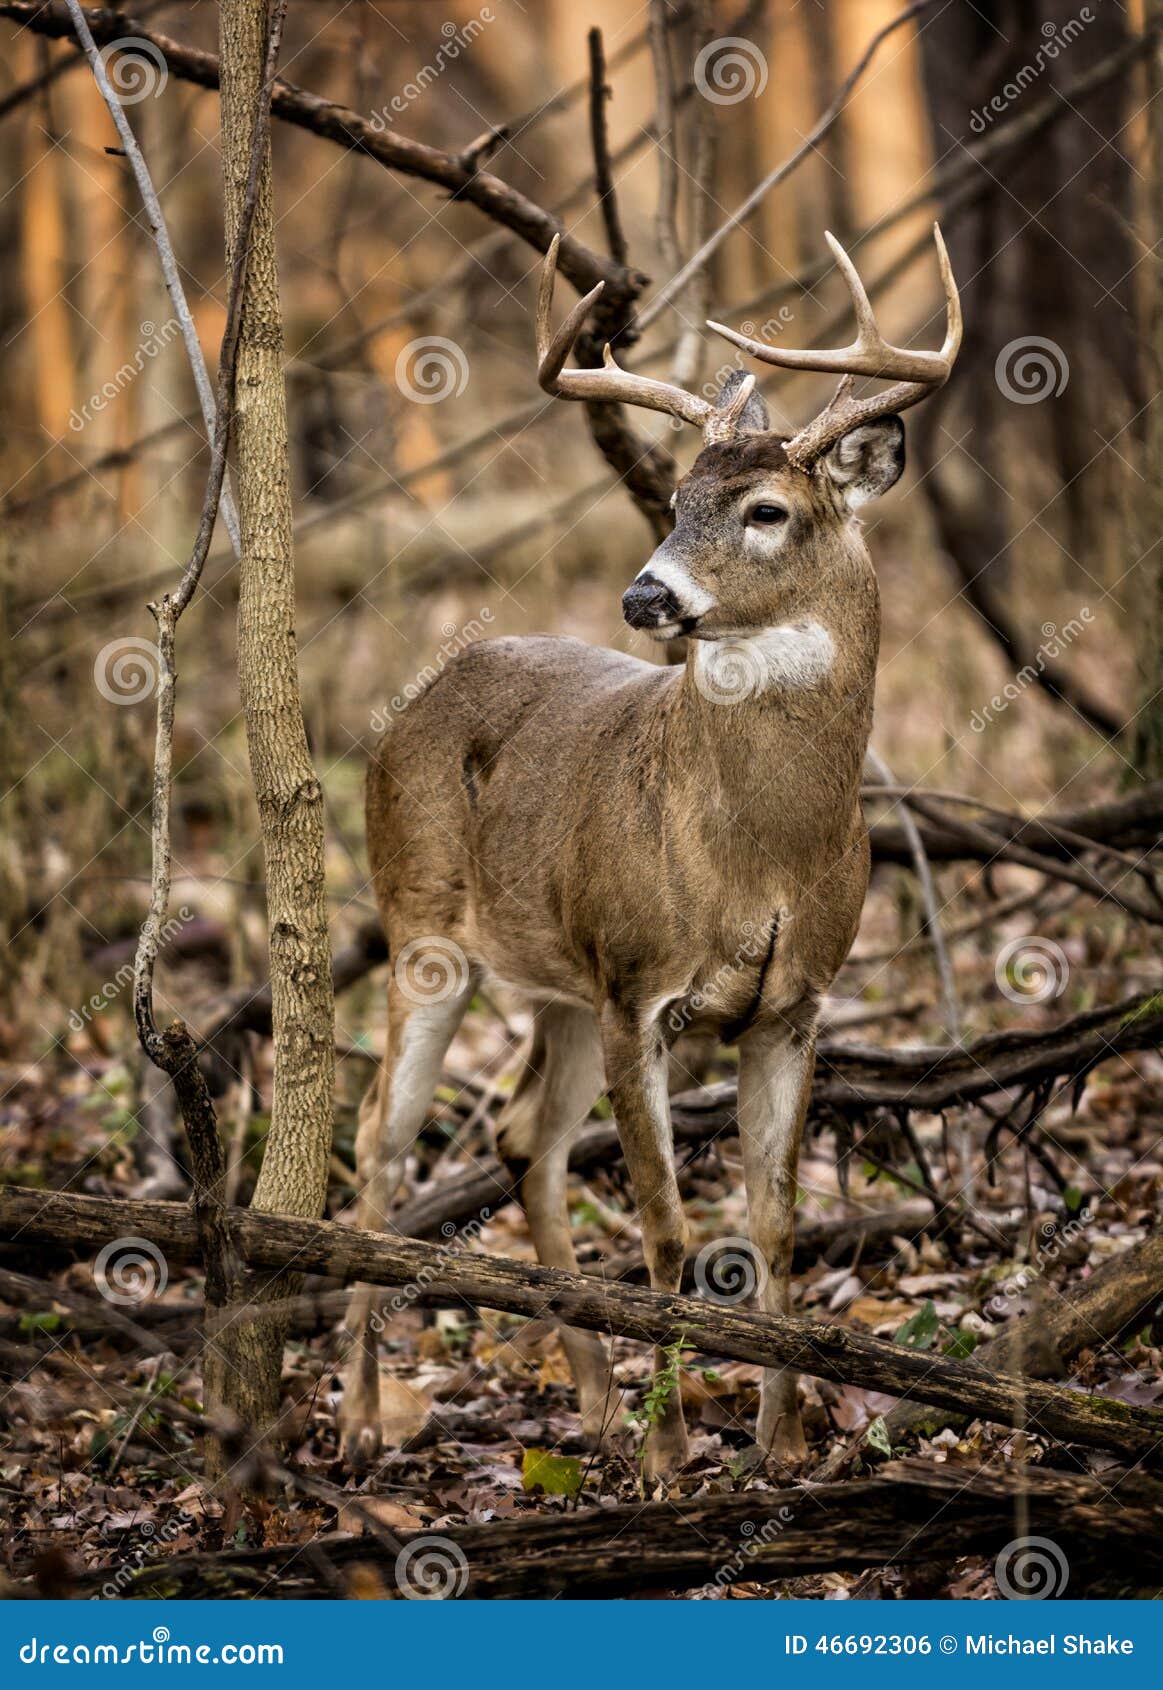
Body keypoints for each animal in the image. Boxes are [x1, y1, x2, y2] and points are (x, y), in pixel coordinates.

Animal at [341, 227, 961, 1478]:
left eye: (765, 509)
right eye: (672, 497)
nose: (643, 592)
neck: (758, 853)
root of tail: (413, 702)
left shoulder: (791, 1005)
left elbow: (774, 1221)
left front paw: (780, 1442)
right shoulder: (640, 987)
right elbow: (668, 1228)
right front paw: (673, 1453)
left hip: (560, 983)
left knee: (522, 1137)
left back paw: (586, 1406)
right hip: (424, 928)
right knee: (380, 1140)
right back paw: (360, 1423)